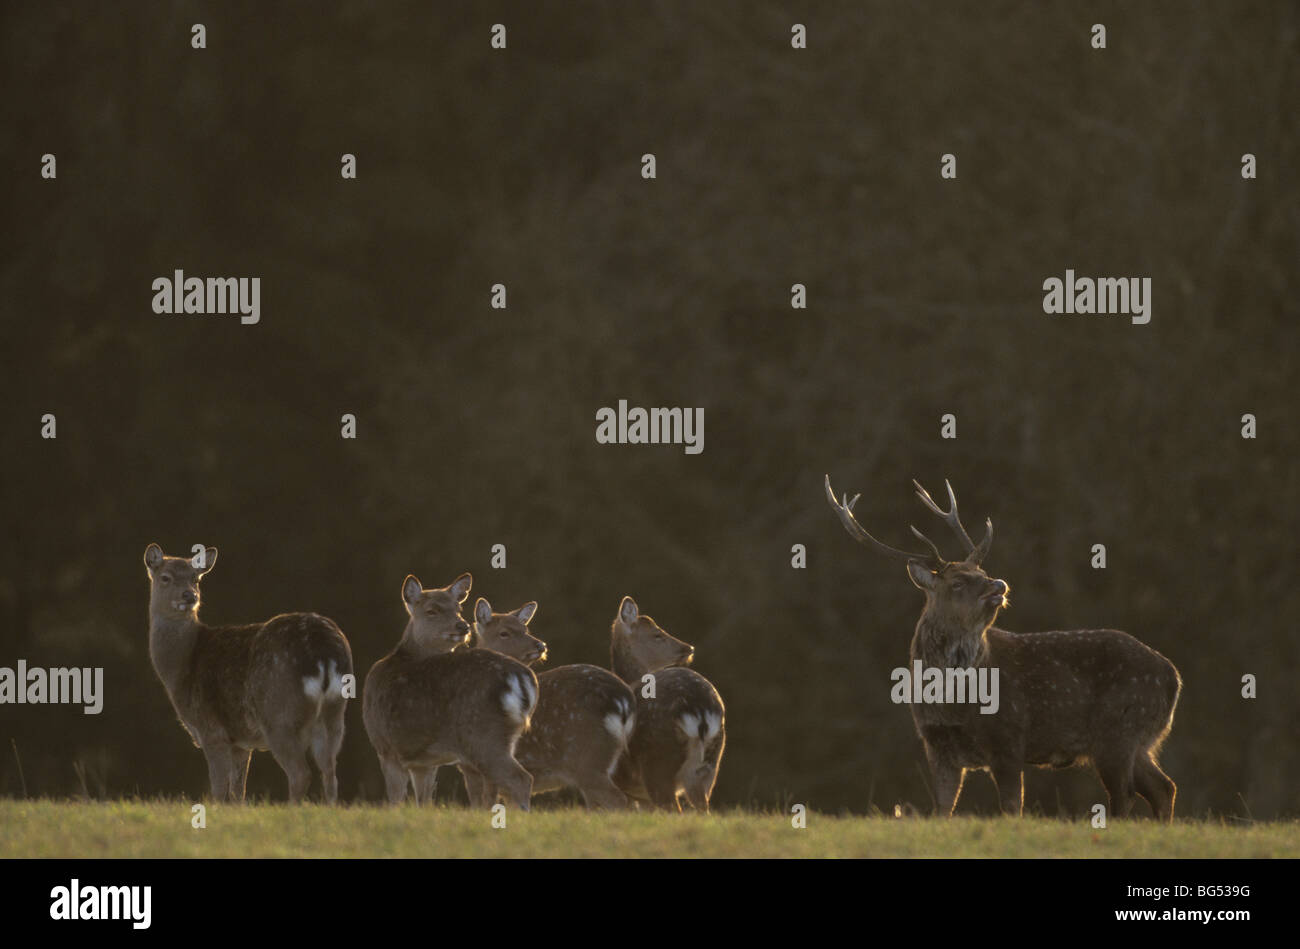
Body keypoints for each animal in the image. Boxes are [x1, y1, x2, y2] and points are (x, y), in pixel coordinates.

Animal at [143, 543, 353, 803]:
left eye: (195, 578)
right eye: (165, 577)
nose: (190, 596)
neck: (182, 667)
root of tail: (322, 650)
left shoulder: (211, 730)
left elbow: (219, 790)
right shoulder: (241, 742)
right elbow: (238, 793)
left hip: (278, 714)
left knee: (301, 773)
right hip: (334, 713)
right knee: (330, 771)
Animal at [361, 573, 538, 810]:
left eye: (458, 608)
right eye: (431, 610)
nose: (462, 625)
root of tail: (523, 678)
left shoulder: (386, 746)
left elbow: (395, 800)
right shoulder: (424, 762)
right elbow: (424, 801)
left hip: (482, 734)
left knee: (520, 778)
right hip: (505, 738)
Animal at [461, 597, 636, 809]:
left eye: (525, 628)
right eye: (504, 633)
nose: (540, 645)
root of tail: (623, 702)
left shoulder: (474, 764)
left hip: (587, 759)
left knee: (619, 799)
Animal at [609, 596, 725, 812]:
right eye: (657, 634)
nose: (688, 648)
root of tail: (700, 711)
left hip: (657, 764)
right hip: (709, 768)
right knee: (703, 808)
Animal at [824, 475, 1181, 821]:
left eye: (982, 571)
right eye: (957, 582)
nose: (998, 585)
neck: (953, 702)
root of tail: (1173, 678)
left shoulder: (1008, 738)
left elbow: (1011, 808)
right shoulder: (937, 746)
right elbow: (942, 811)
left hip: (1118, 729)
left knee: (1127, 795)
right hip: (1137, 740)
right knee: (1163, 787)